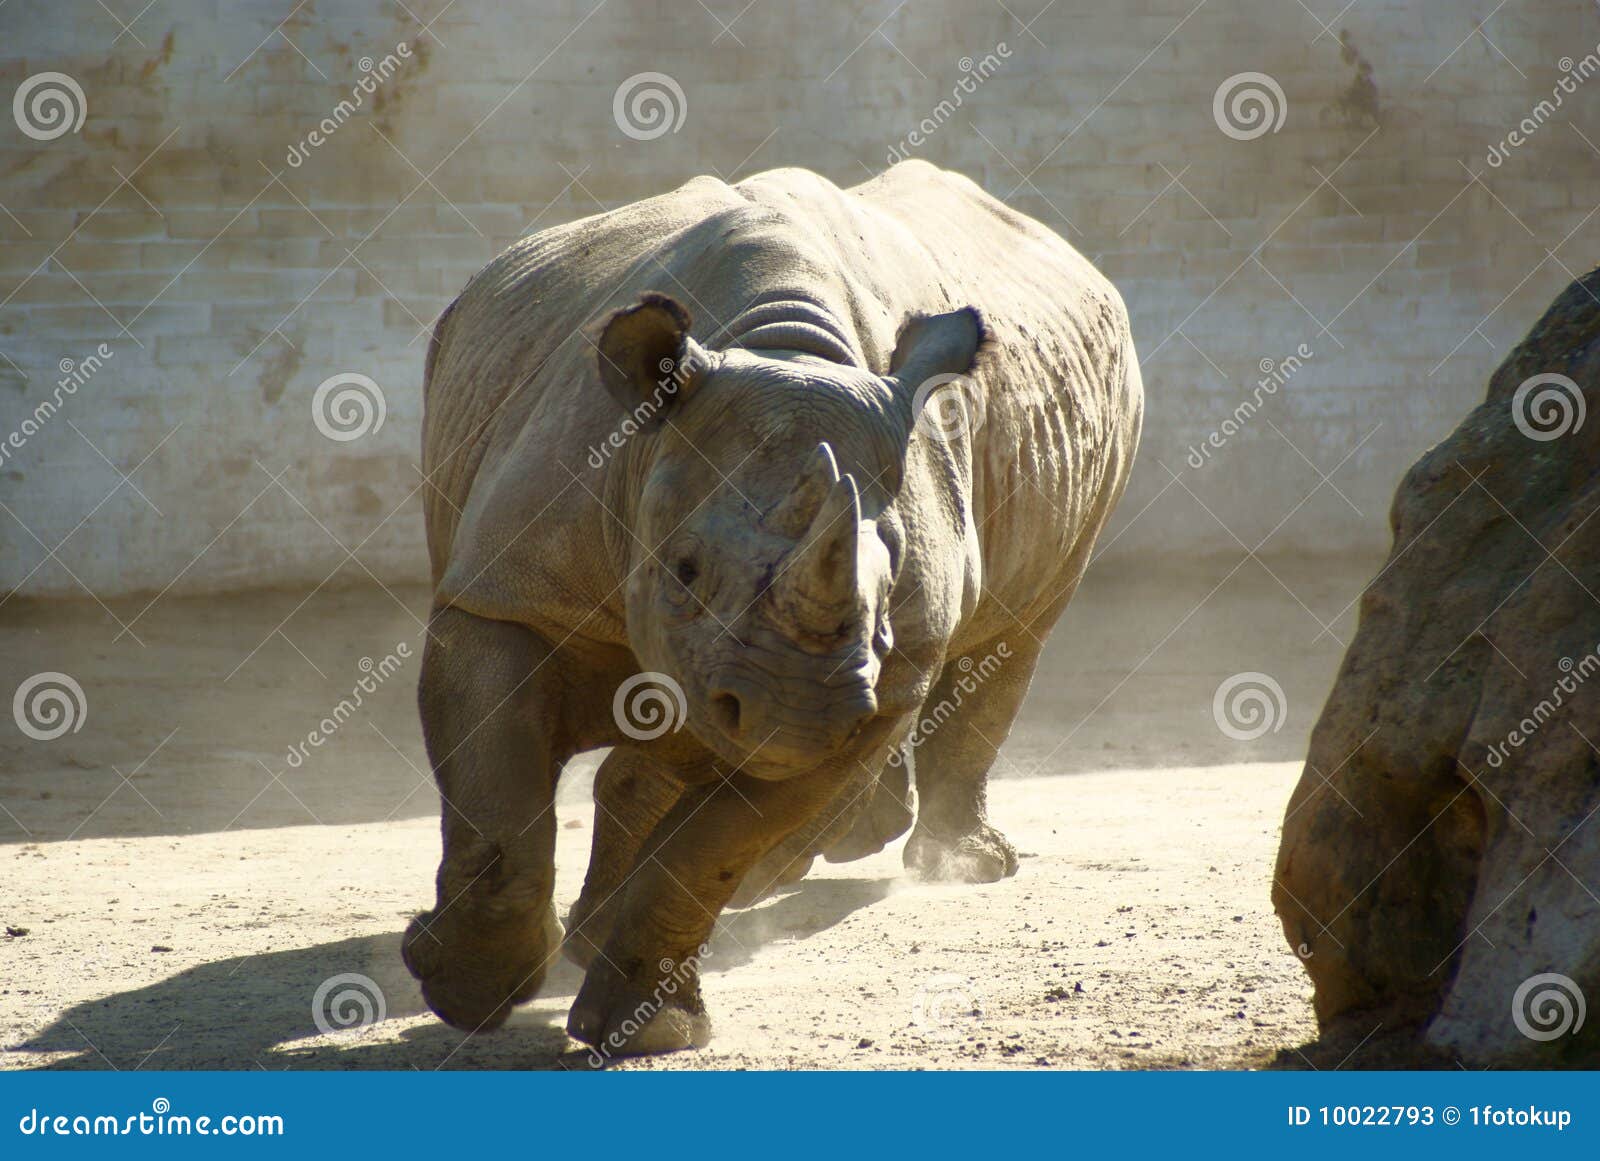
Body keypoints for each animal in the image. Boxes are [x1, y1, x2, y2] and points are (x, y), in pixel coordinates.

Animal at [401, 161, 1142, 1055]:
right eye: (683, 569)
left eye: (887, 599)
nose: (795, 711)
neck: (782, 349)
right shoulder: (505, 596)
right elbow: (497, 807)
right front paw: (464, 990)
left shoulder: (874, 689)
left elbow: (711, 849)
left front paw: (651, 1032)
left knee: (1015, 639)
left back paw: (957, 864)